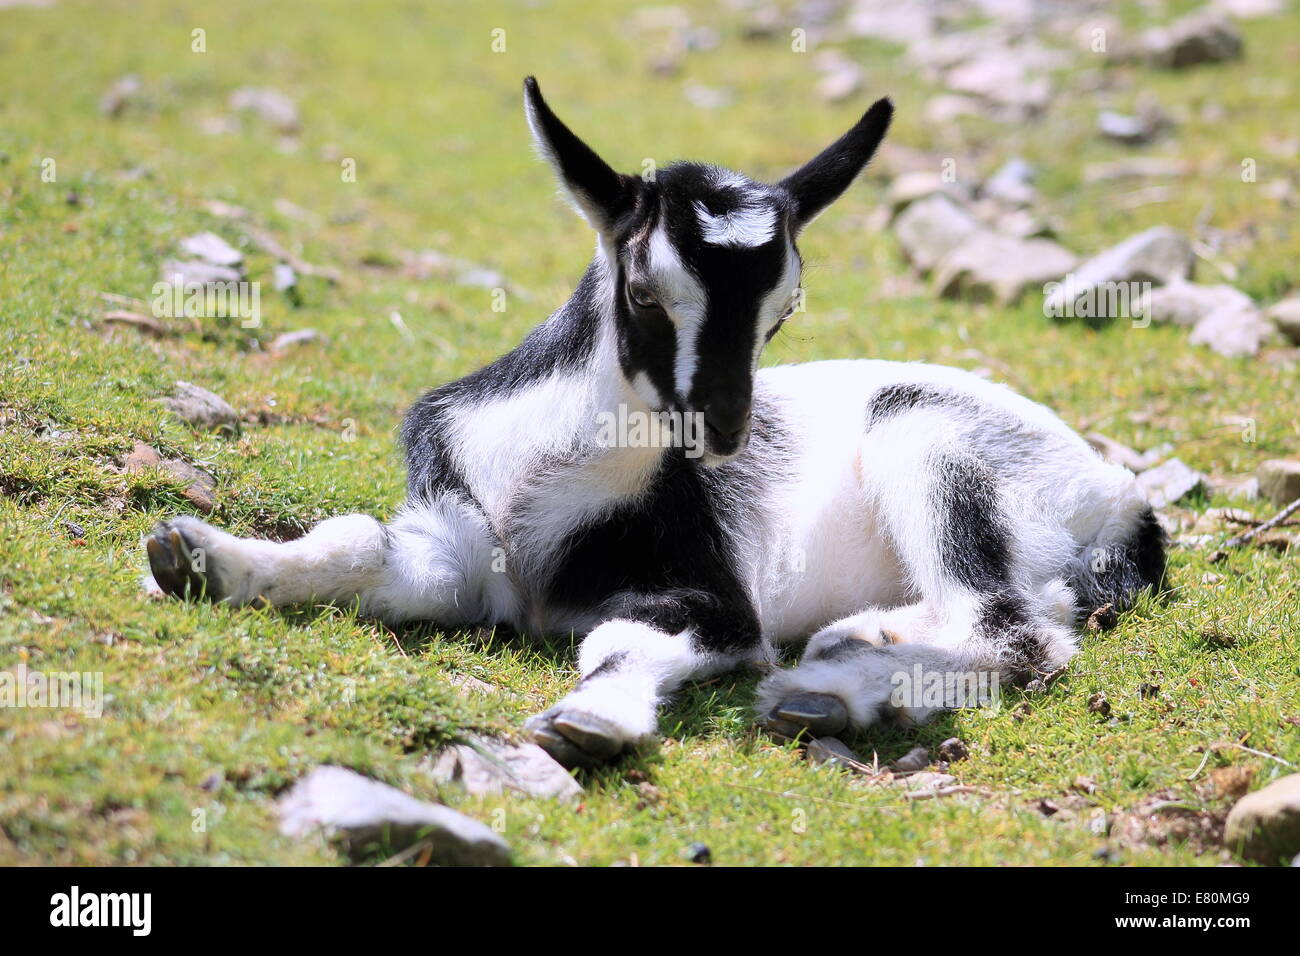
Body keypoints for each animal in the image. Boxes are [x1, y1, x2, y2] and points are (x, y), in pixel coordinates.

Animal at [146, 78, 1165, 767]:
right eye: (643, 291)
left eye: (781, 311)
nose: (721, 431)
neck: (541, 487)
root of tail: (1121, 494)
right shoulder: (460, 547)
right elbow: (358, 544)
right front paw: (197, 559)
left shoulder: (715, 601)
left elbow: (626, 641)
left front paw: (589, 722)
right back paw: (858, 643)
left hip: (928, 440)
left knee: (1021, 631)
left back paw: (826, 693)